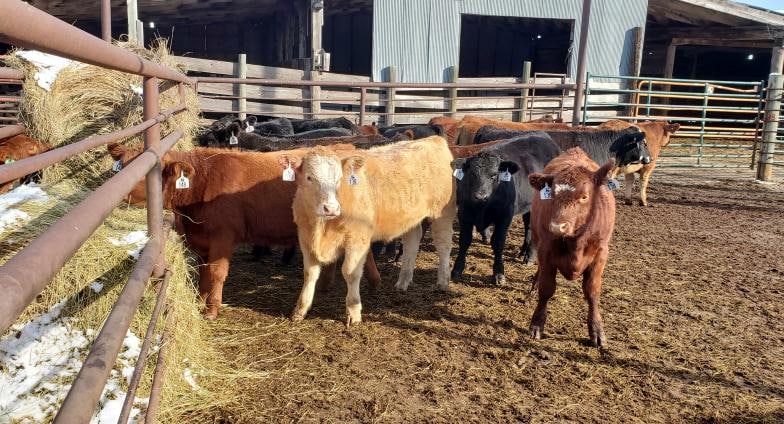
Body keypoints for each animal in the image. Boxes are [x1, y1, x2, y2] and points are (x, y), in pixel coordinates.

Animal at [107, 143, 382, 319]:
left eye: (147, 173)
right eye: (120, 165)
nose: (113, 188)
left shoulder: (222, 237)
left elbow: (217, 272)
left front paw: (212, 309)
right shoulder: (200, 240)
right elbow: (203, 272)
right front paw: (199, 300)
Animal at [278, 136, 457, 325]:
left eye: (339, 179)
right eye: (309, 177)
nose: (331, 208)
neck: (321, 226)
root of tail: (433, 139)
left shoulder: (357, 239)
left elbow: (350, 272)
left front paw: (354, 312)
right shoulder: (305, 238)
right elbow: (309, 273)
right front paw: (300, 310)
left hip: (443, 212)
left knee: (443, 244)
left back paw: (442, 282)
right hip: (411, 217)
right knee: (412, 243)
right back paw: (403, 282)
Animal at [451, 133, 561, 284]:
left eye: (494, 175)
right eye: (472, 174)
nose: (480, 196)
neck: (482, 207)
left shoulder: (504, 216)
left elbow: (498, 243)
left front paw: (499, 273)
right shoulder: (464, 213)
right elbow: (465, 241)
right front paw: (457, 269)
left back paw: (530, 256)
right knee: (528, 225)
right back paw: (523, 251)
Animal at [528, 148, 616, 347]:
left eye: (584, 196)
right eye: (552, 195)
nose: (556, 227)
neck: (576, 240)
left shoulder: (601, 253)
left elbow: (592, 292)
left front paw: (597, 330)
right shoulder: (546, 250)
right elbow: (546, 288)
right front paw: (537, 323)